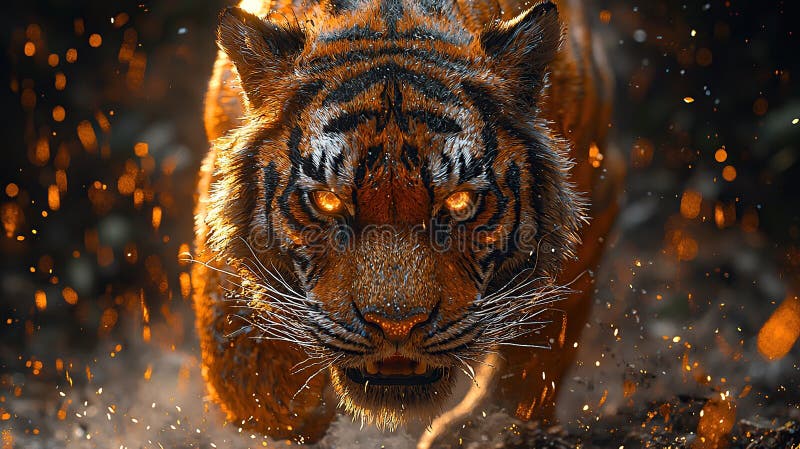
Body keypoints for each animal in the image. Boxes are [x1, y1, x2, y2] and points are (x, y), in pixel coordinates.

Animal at [193, 0, 623, 444]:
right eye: (328, 201)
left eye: (459, 201)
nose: (395, 326)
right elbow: (238, 350)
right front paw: (294, 402)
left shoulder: (596, 183)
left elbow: (539, 349)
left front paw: (486, 432)